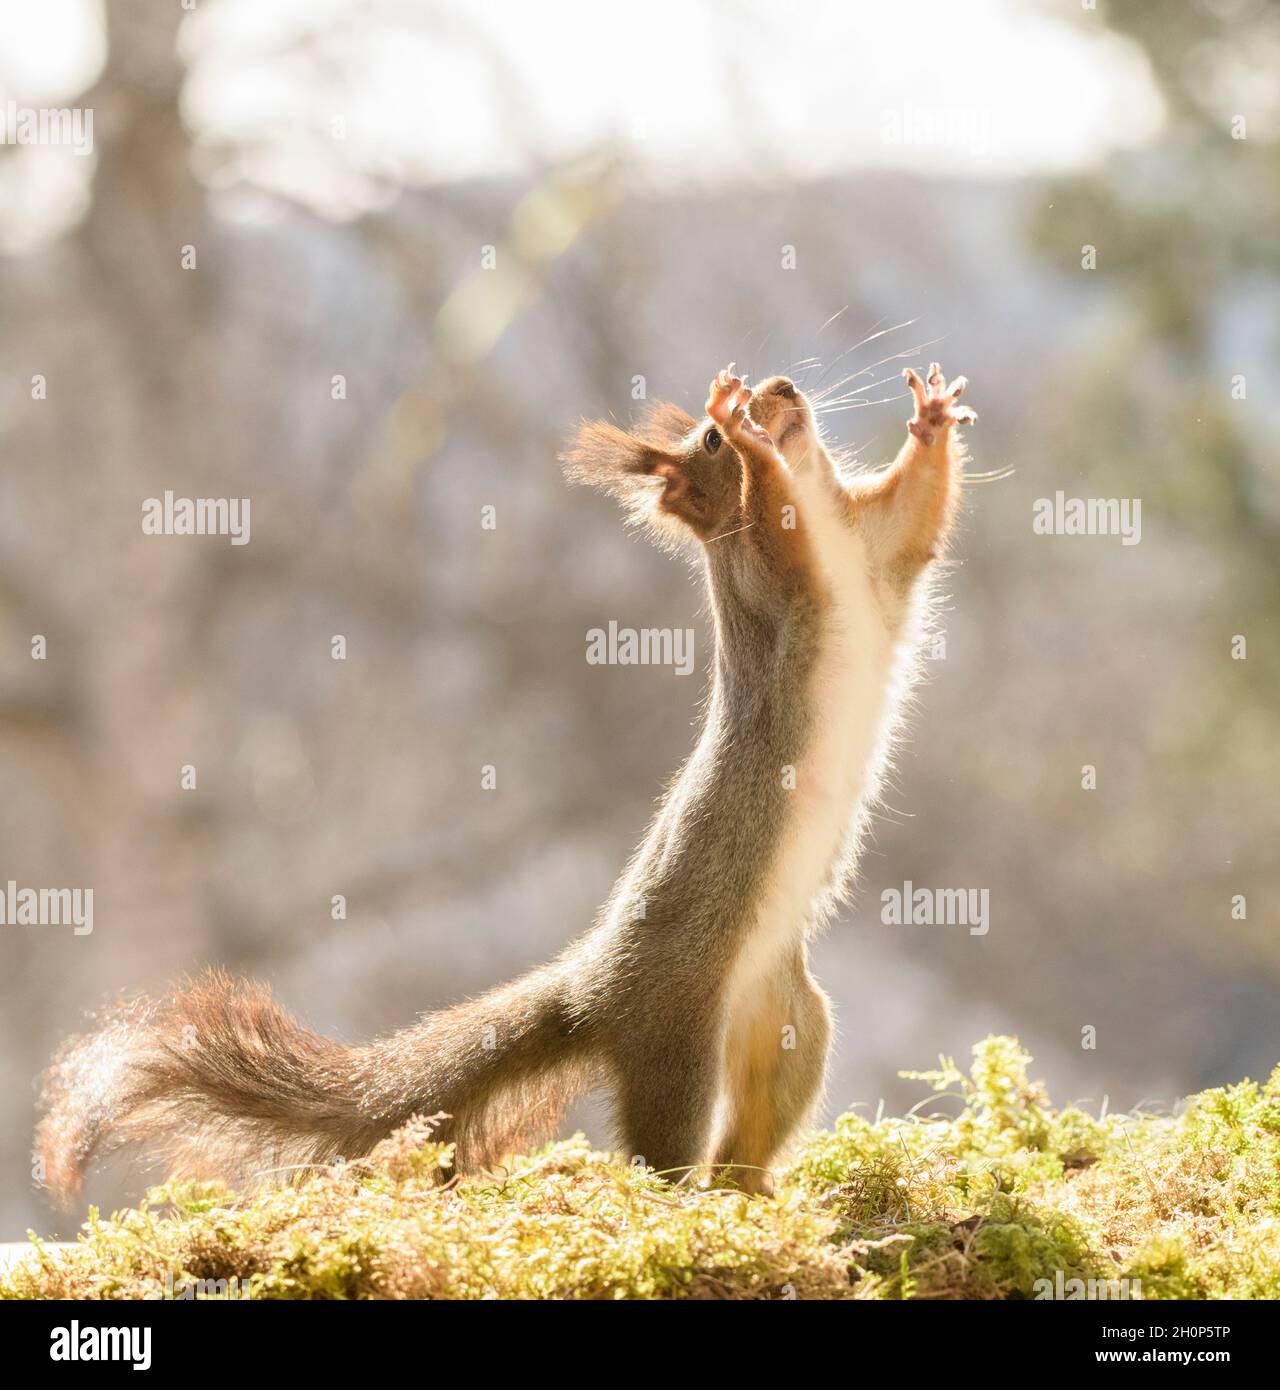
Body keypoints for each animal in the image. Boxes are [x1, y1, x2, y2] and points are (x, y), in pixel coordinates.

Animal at [37, 361, 975, 1203]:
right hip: (675, 1047)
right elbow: (776, 518)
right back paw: (695, 1209)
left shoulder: (881, 552)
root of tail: (593, 990)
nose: (780, 390)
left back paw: (754, 1192)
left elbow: (919, 512)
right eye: (707, 442)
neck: (828, 521)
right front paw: (753, 442)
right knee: (661, 1159)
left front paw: (931, 419)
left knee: (751, 1125)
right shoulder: (774, 579)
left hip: (787, 1022)